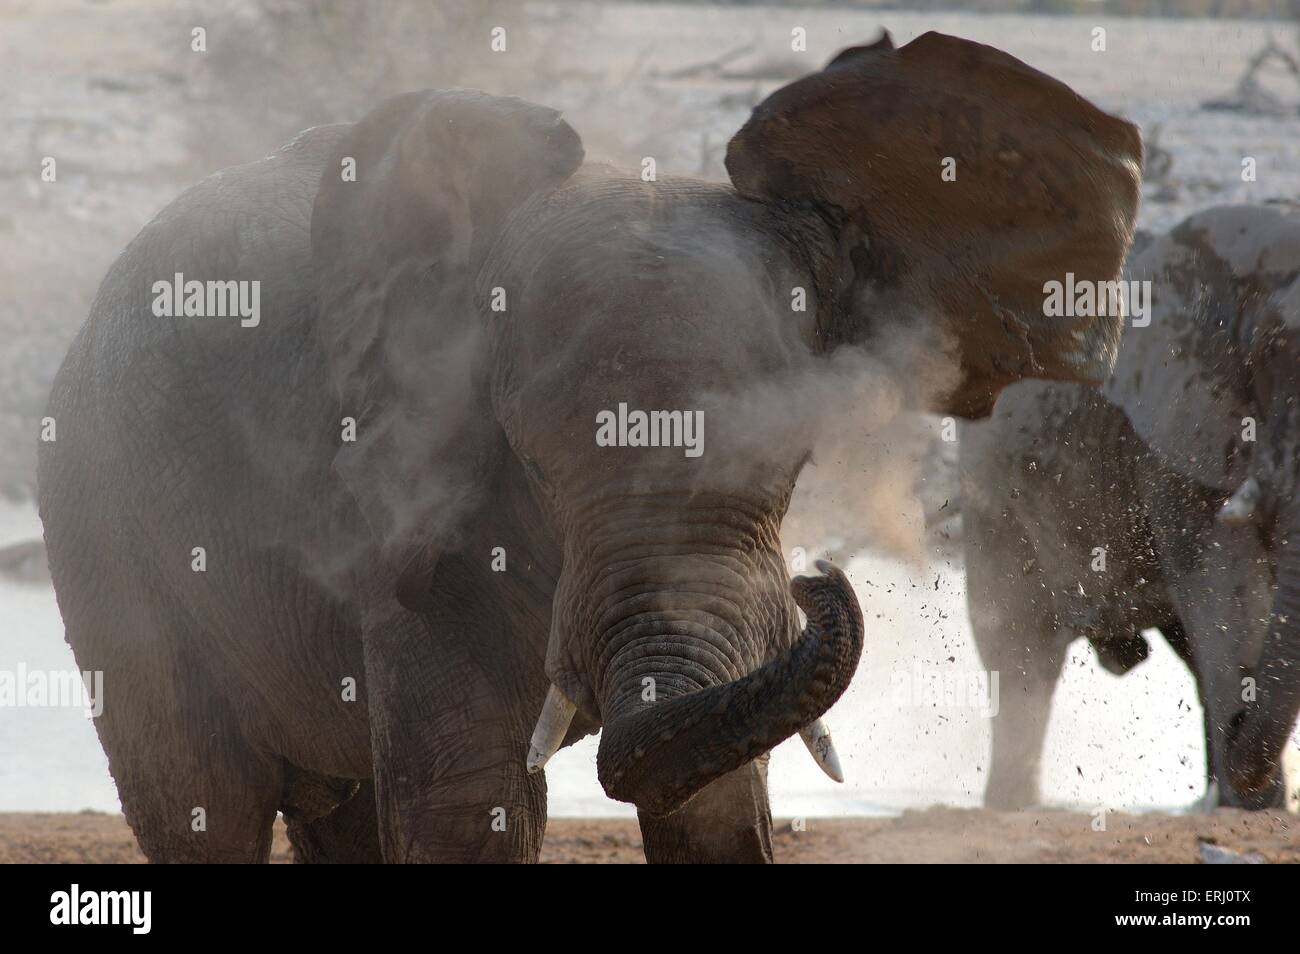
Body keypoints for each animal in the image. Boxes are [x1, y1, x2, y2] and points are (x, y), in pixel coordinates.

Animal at [38, 32, 1141, 862]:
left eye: (799, 454)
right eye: (528, 454)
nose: (819, 580)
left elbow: (714, 805)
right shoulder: (412, 503)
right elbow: (469, 806)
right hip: (101, 535)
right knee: (202, 808)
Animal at [961, 202, 1299, 811]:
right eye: (1271, 359)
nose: (1239, 730)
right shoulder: (1173, 443)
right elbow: (1227, 584)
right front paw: (1260, 810)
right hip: (992, 489)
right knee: (1020, 652)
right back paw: (1013, 810)